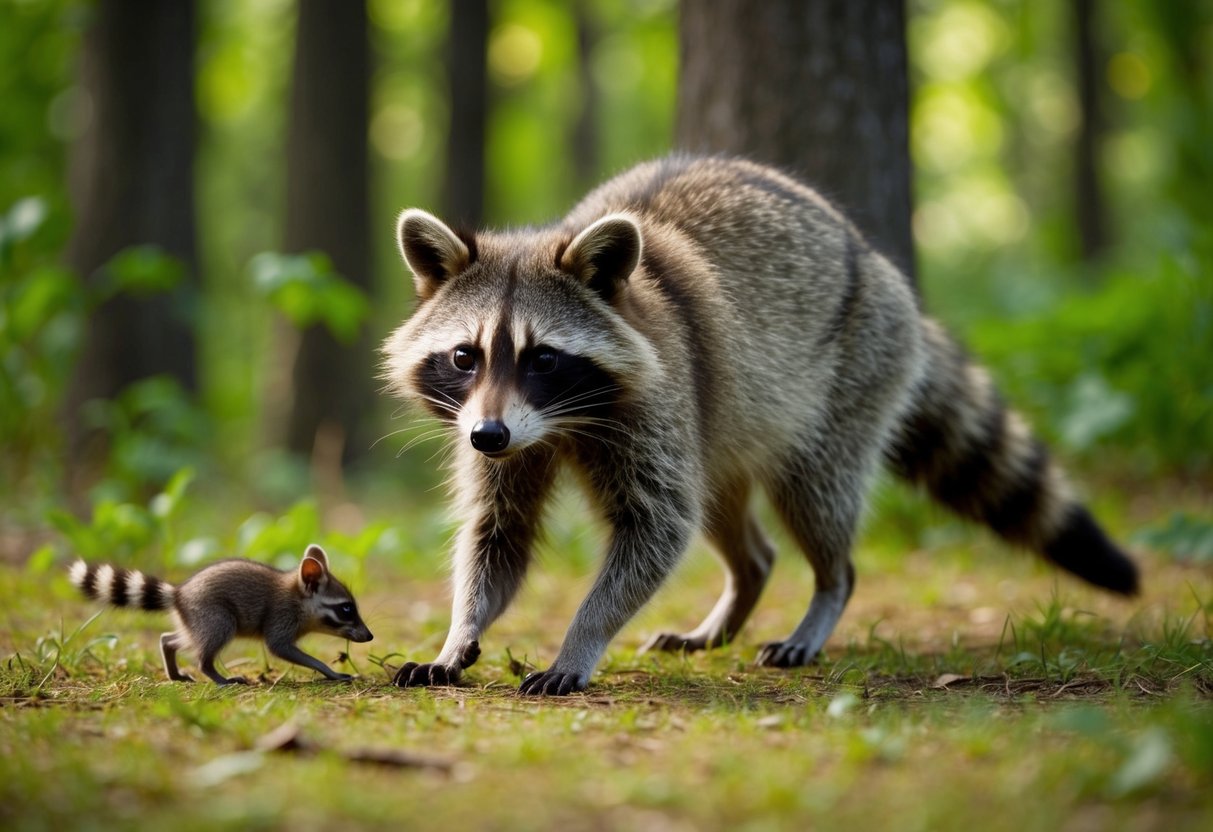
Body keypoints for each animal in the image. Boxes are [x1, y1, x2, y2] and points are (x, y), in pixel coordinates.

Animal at [69, 544, 373, 684]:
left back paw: (171, 657)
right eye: (346, 609)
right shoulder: (281, 616)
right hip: (213, 612)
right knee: (213, 638)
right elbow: (279, 648)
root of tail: (179, 593)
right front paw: (327, 670)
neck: (300, 597)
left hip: (196, 617)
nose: (369, 636)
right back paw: (213, 673)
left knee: (177, 638)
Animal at [381, 155, 1138, 696]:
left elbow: (656, 529)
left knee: (814, 500)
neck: (554, 425)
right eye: (465, 355)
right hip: (724, 429)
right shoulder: (498, 427)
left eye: (543, 358)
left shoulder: (657, 400)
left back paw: (828, 589)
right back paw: (741, 587)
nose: (489, 437)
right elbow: (497, 534)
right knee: (731, 523)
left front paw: (582, 637)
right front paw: (458, 632)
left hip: (852, 375)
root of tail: (872, 258)